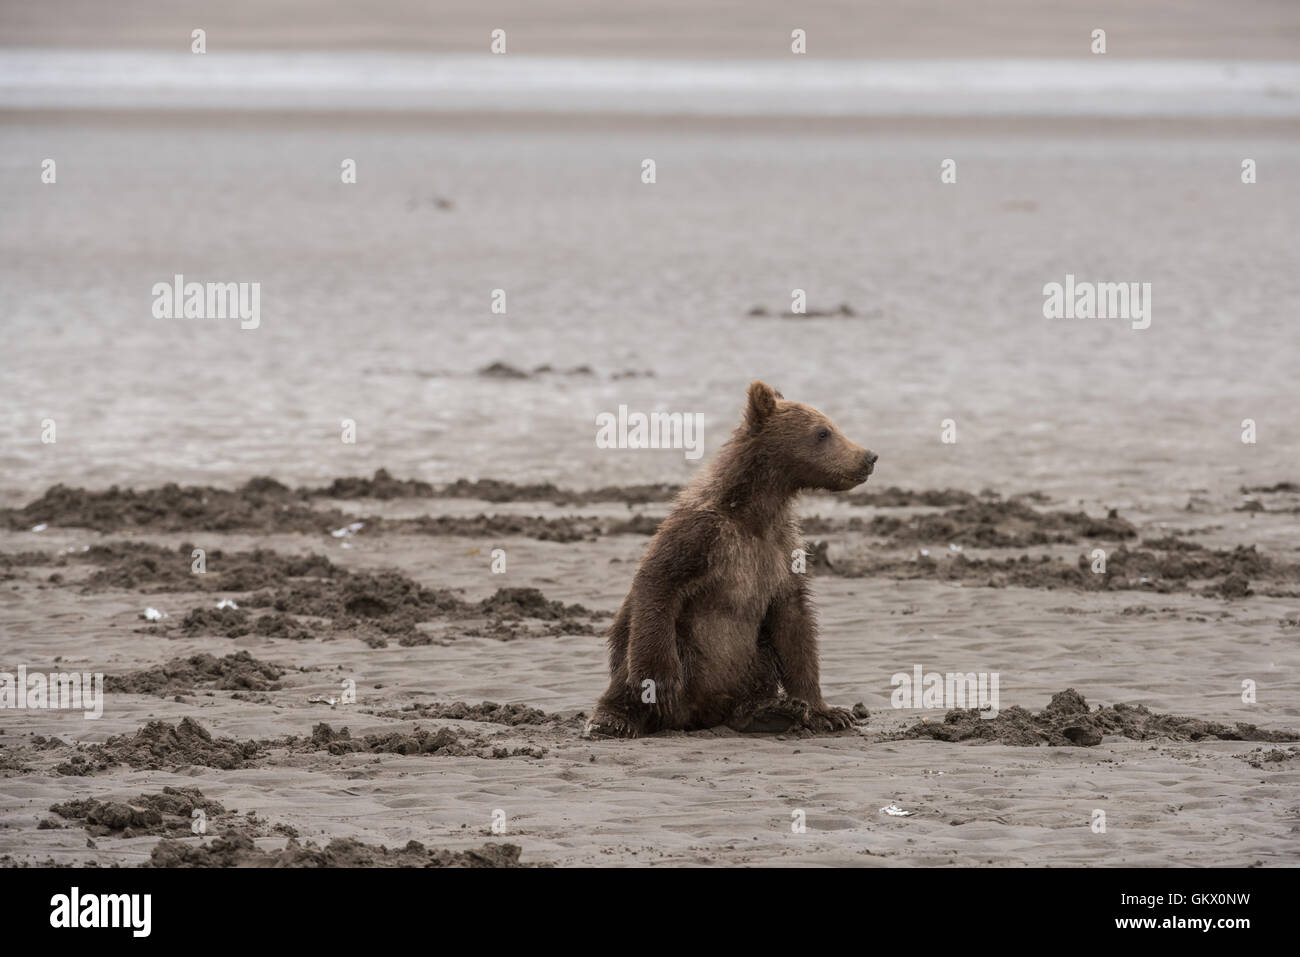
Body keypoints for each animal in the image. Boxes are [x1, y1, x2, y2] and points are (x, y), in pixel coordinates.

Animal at [584, 380, 878, 738]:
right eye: (823, 432)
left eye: (832, 426)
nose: (868, 456)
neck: (756, 512)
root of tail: (698, 716)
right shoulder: (702, 534)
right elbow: (659, 580)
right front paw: (656, 686)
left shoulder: (783, 551)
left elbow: (795, 626)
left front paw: (829, 712)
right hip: (687, 652)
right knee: (637, 659)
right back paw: (612, 720)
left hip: (748, 663)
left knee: (758, 664)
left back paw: (769, 712)